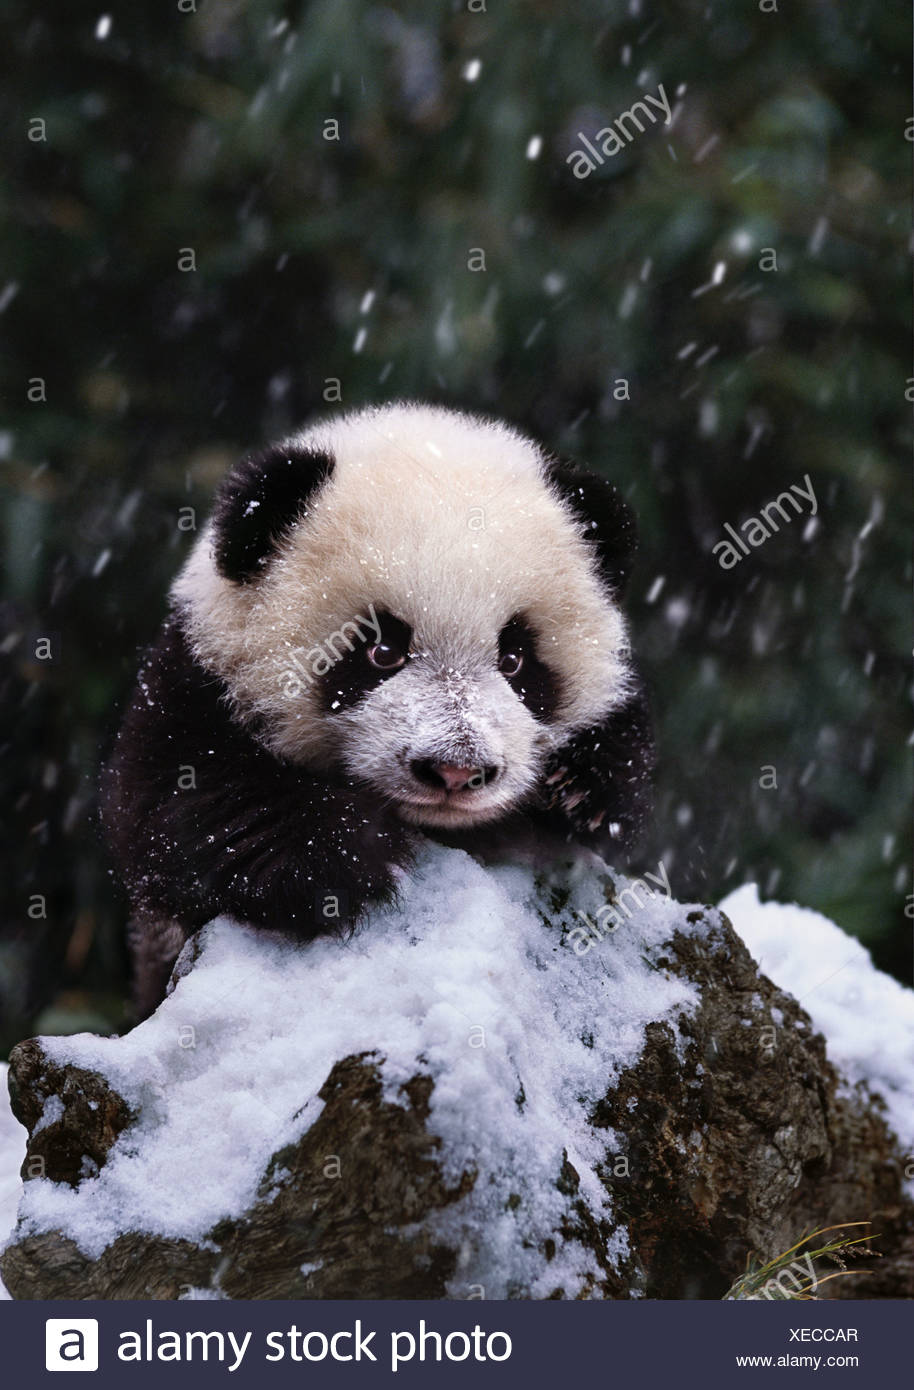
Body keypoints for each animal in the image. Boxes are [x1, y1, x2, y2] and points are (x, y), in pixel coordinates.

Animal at [102, 402, 654, 1016]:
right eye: (381, 650)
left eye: (515, 658)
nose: (455, 770)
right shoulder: (196, 677)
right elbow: (181, 798)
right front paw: (339, 859)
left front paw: (576, 785)